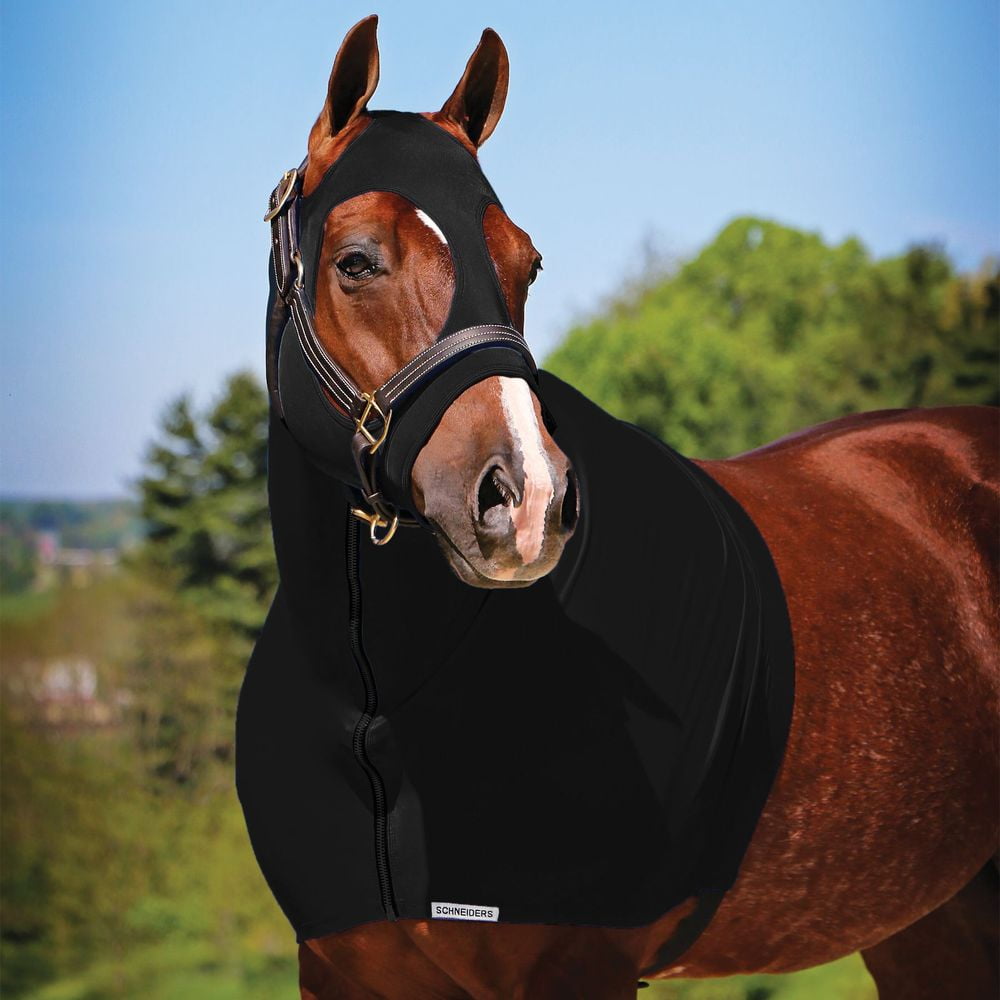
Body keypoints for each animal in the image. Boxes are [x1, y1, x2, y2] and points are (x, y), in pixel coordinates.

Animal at [246, 16, 999, 999]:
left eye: (526, 262)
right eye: (356, 262)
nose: (527, 497)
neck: (378, 695)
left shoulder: (581, 964)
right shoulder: (343, 971)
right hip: (934, 922)